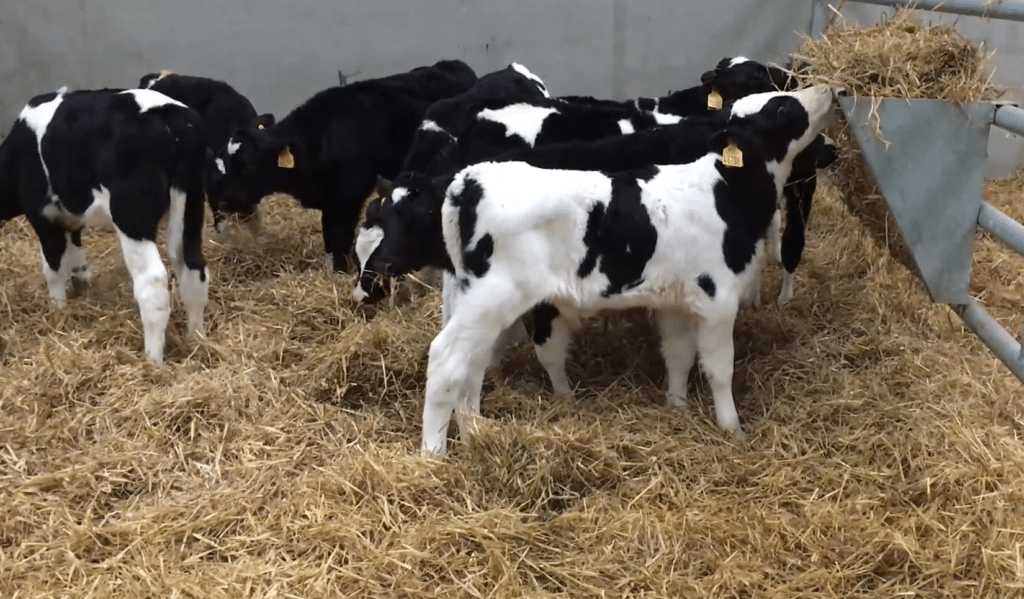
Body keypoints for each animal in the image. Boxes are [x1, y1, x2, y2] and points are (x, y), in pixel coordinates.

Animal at [0, 86, 211, 366]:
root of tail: (167, 111)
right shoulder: (72, 215)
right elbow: (76, 255)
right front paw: (81, 286)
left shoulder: (43, 215)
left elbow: (53, 267)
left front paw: (58, 310)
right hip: (192, 204)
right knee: (193, 267)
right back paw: (196, 340)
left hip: (132, 215)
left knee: (152, 282)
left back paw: (153, 362)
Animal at [206, 59, 478, 272]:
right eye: (225, 162)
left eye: (248, 165)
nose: (223, 201)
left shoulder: (347, 198)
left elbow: (338, 238)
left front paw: (340, 272)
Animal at [417, 85, 835, 456]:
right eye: (780, 108)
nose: (828, 89)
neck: (724, 189)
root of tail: (469, 179)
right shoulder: (718, 297)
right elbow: (720, 368)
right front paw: (733, 429)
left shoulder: (676, 300)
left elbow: (678, 354)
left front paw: (677, 405)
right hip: (492, 299)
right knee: (445, 359)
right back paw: (433, 452)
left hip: (476, 303)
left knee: (472, 364)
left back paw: (475, 430)